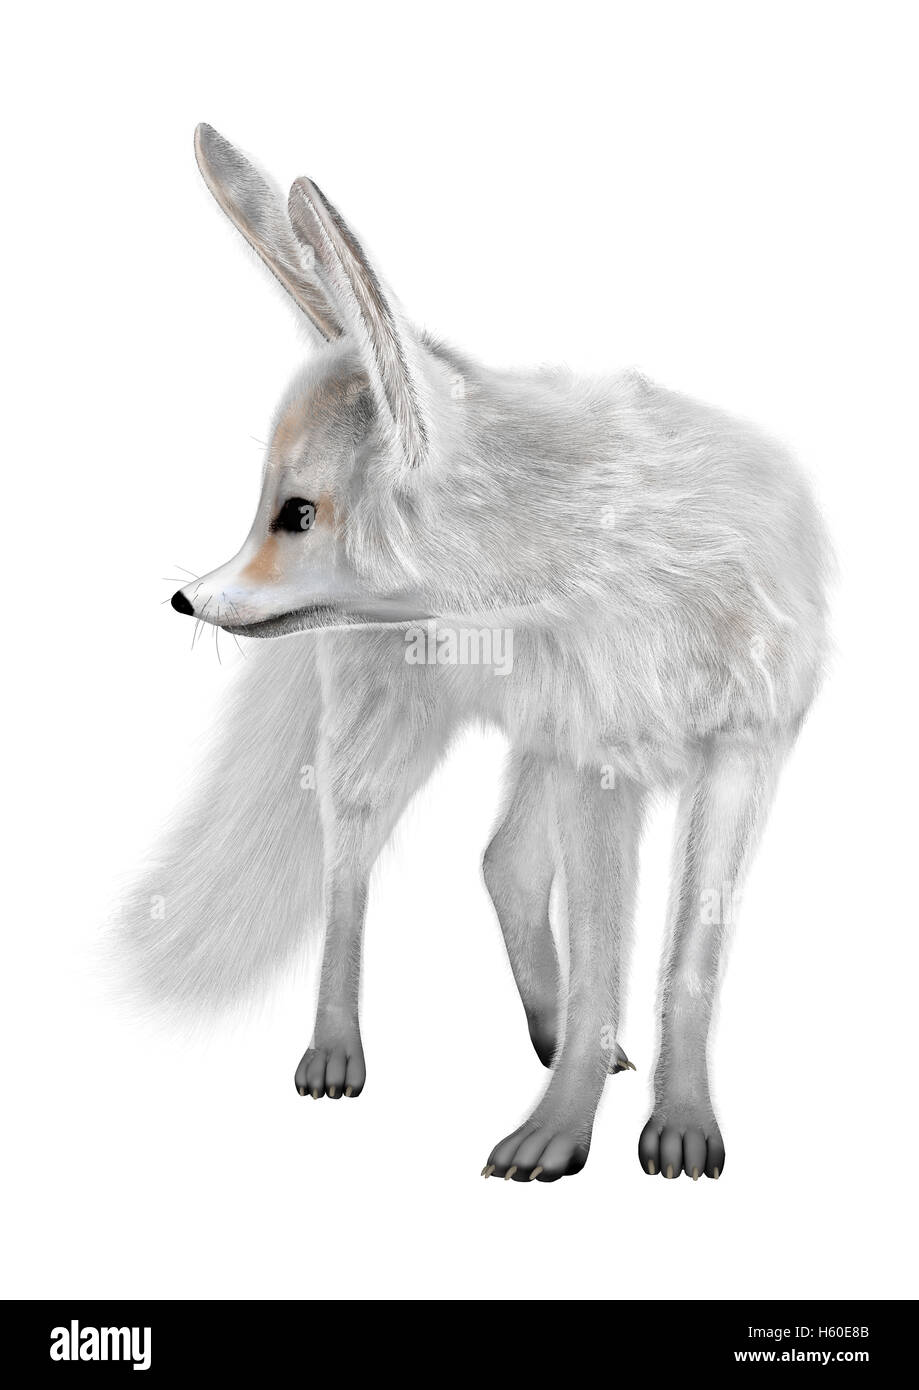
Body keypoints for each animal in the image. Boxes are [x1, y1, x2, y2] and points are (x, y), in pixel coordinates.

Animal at [120, 123, 831, 1183]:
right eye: (266, 510)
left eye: (297, 514)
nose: (183, 599)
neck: (638, 575)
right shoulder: (603, 767)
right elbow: (602, 967)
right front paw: (562, 1129)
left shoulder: (740, 749)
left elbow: (686, 968)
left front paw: (679, 1122)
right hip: (395, 744)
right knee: (352, 867)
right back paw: (337, 1048)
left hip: (540, 744)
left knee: (503, 864)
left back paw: (544, 1028)